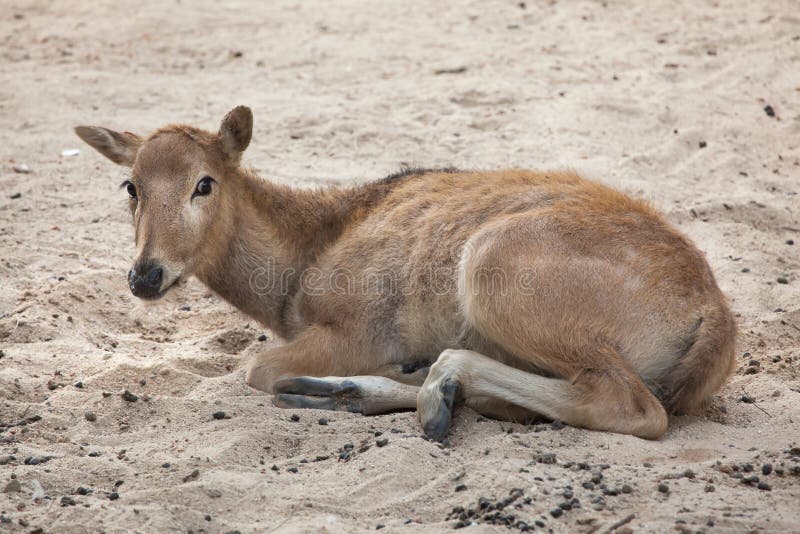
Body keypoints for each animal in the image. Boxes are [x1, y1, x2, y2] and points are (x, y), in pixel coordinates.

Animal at [74, 106, 736, 441]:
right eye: (131, 185)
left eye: (203, 183)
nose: (145, 275)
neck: (298, 269)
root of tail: (715, 318)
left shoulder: (358, 326)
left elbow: (257, 368)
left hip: (496, 271)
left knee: (633, 405)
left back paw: (433, 390)